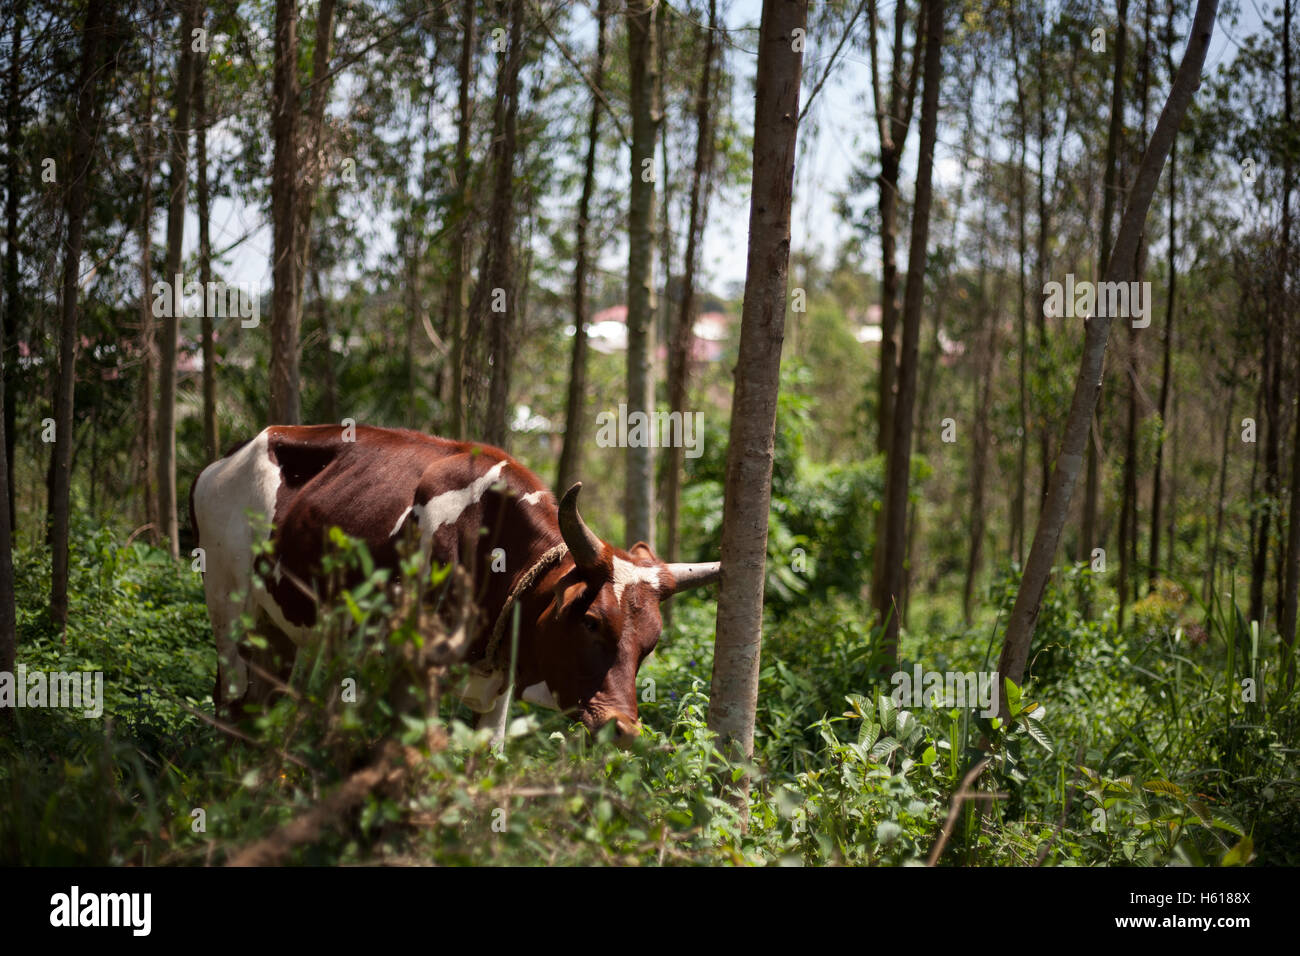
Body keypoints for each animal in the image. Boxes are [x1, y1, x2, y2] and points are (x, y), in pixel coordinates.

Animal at [189, 424, 720, 744]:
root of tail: (229, 457)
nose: (622, 729)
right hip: (226, 605)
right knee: (230, 695)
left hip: (276, 627)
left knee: (262, 701)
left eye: (651, 643)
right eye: (591, 621)